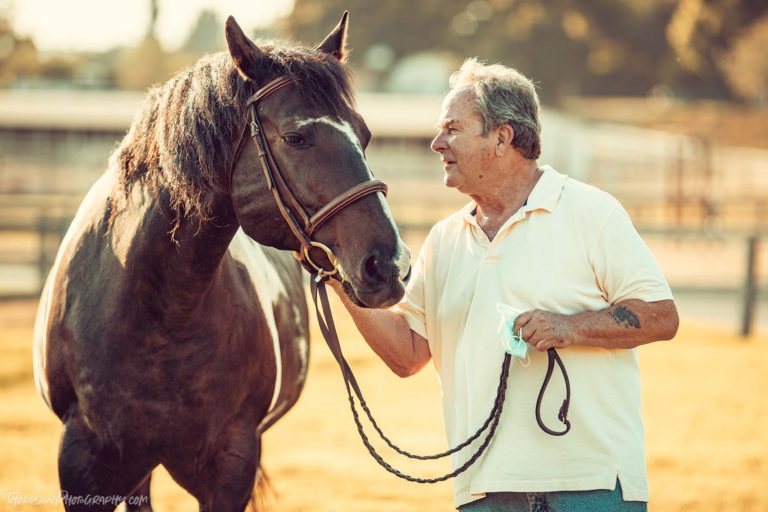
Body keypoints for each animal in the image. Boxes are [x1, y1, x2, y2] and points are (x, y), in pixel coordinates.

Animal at [32, 13, 410, 511]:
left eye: (364, 136)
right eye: (296, 137)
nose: (390, 266)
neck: (158, 314)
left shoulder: (231, 465)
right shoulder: (82, 467)